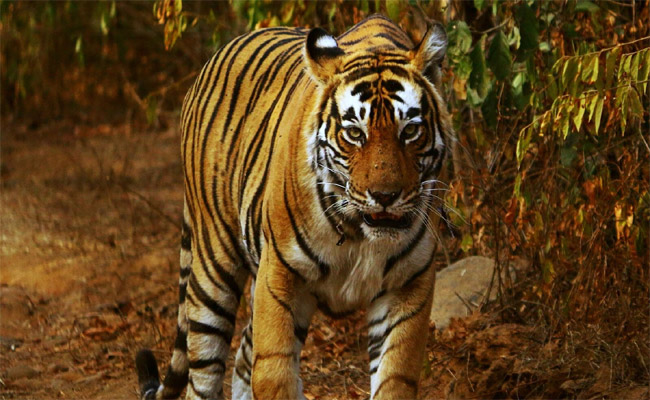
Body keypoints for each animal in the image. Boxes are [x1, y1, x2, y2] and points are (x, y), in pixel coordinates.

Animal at [136, 13, 453, 400]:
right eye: (355, 133)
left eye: (409, 131)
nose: (385, 195)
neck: (359, 233)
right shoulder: (279, 277)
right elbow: (273, 371)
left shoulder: (408, 285)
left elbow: (395, 378)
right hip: (214, 267)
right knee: (205, 372)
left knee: (243, 357)